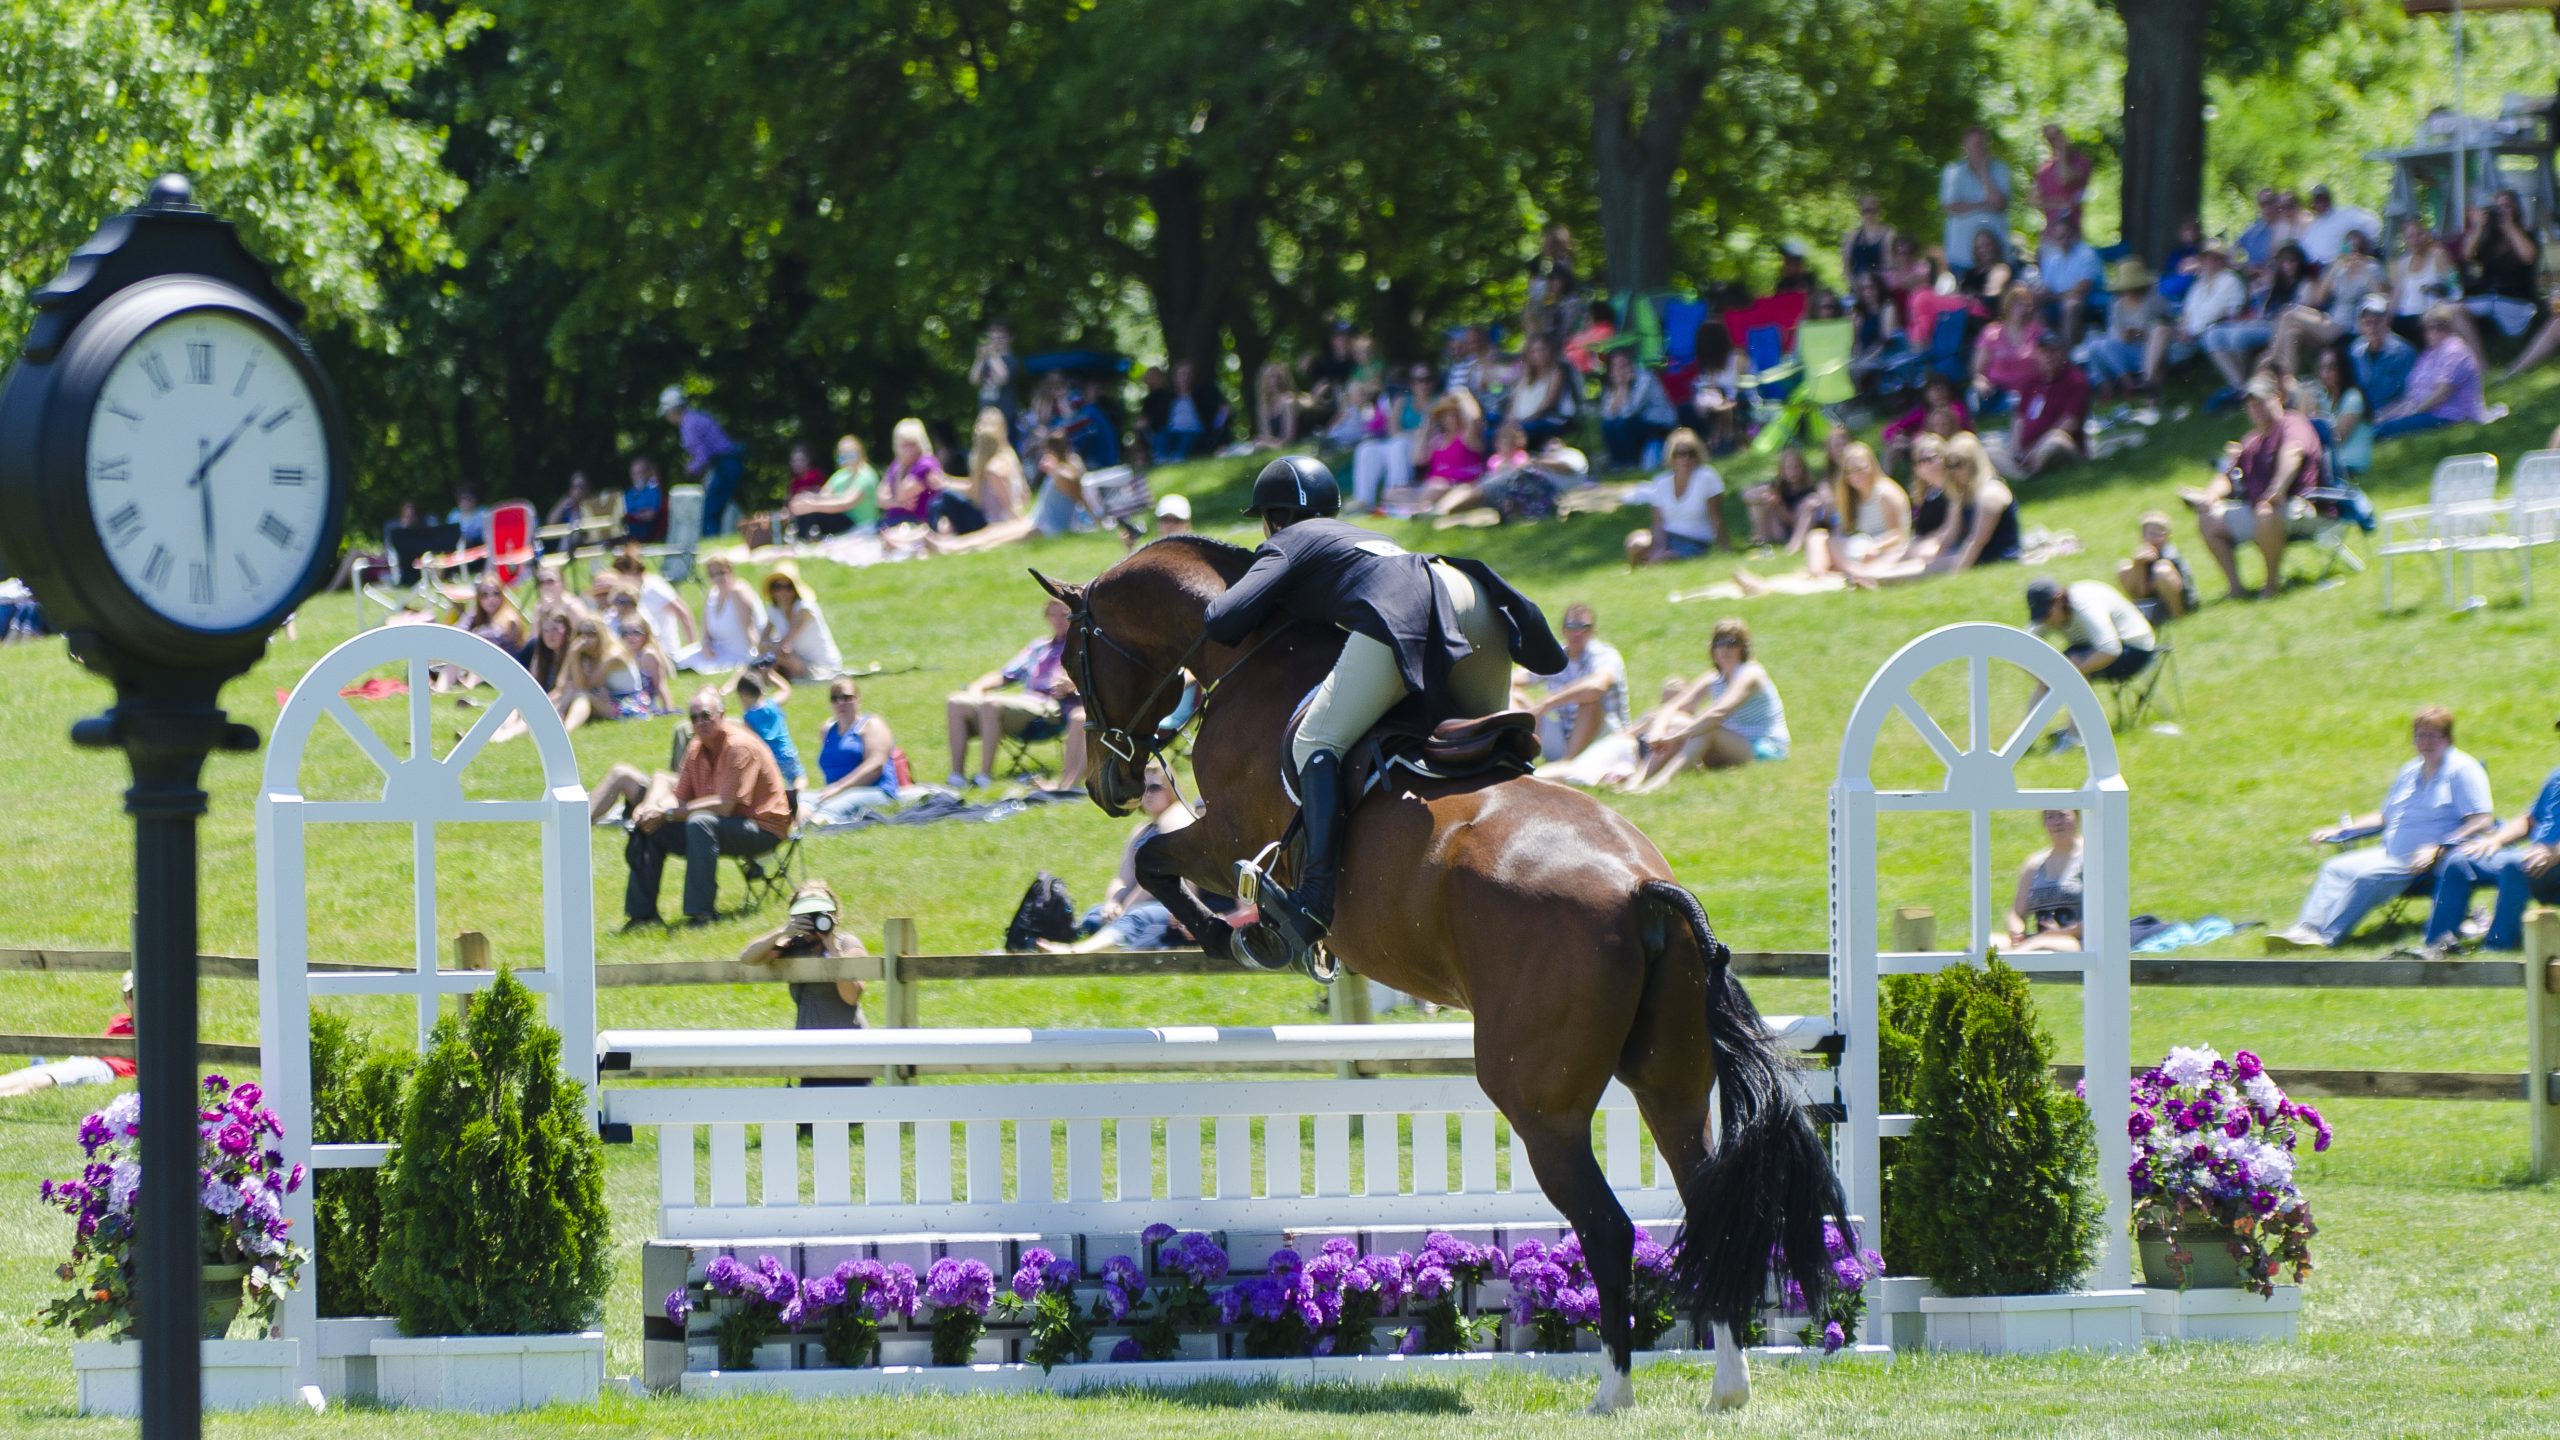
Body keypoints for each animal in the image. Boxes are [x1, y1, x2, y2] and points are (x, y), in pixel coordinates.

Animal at [1031, 535, 1847, 1414]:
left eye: (1073, 662)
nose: (1107, 785)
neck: (1251, 650)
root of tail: (1640, 887)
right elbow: (1158, 859)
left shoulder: (1225, 835)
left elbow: (1156, 858)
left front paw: (1237, 935)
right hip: (1671, 1079)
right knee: (1708, 1202)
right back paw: (1727, 1386)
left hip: (1539, 1102)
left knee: (1607, 1226)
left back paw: (1612, 1392)